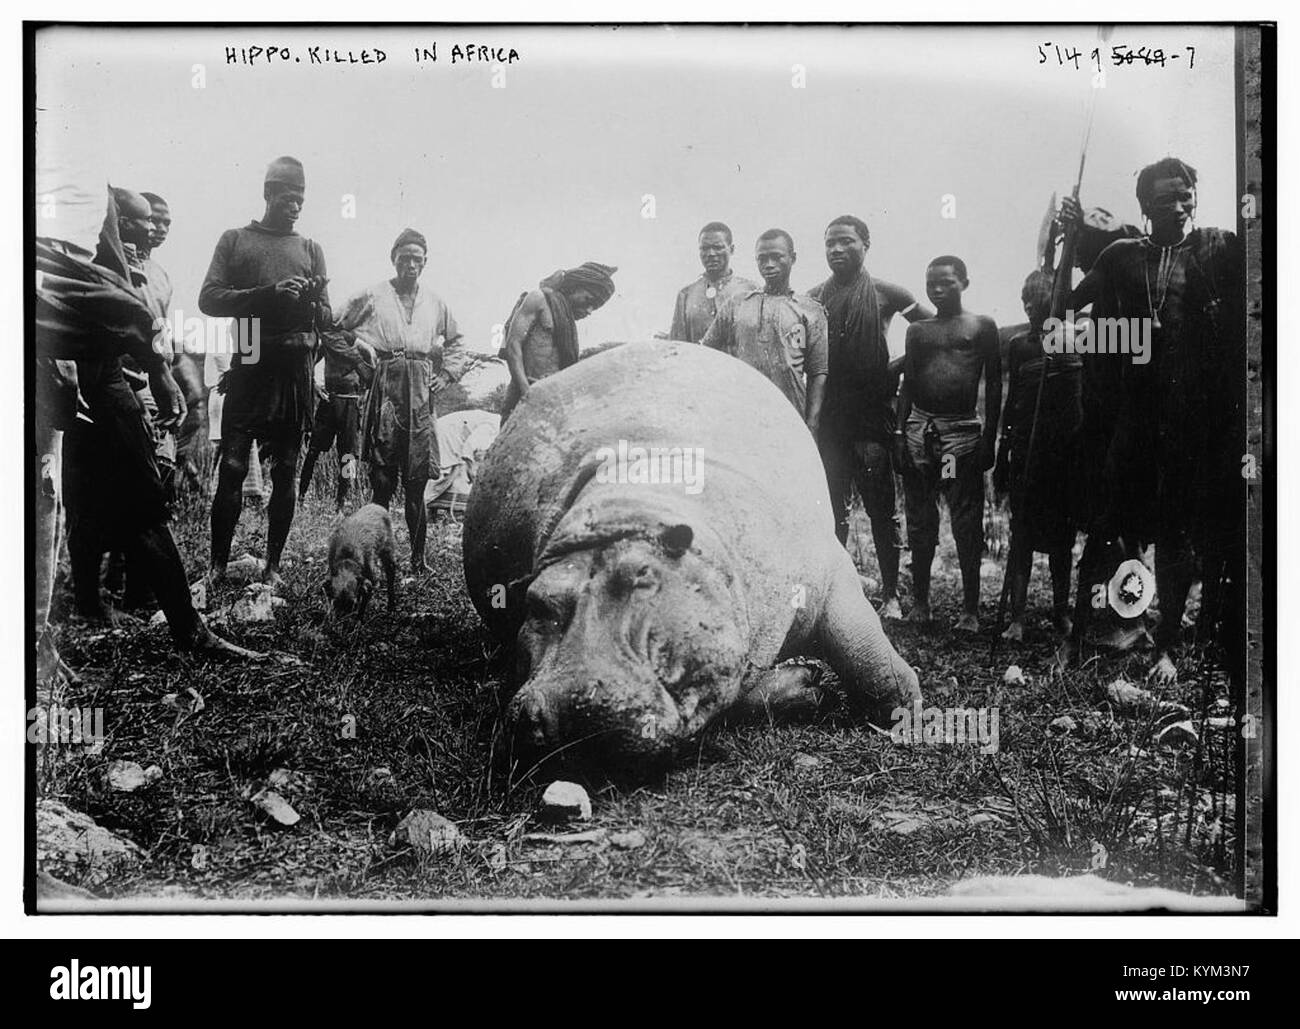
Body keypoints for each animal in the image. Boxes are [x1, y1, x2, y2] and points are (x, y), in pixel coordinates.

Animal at [463, 341, 922, 776]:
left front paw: (908, 713)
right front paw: (808, 687)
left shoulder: (827, 572)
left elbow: (866, 651)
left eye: (642, 575)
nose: (561, 708)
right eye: (535, 603)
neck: (638, 505)